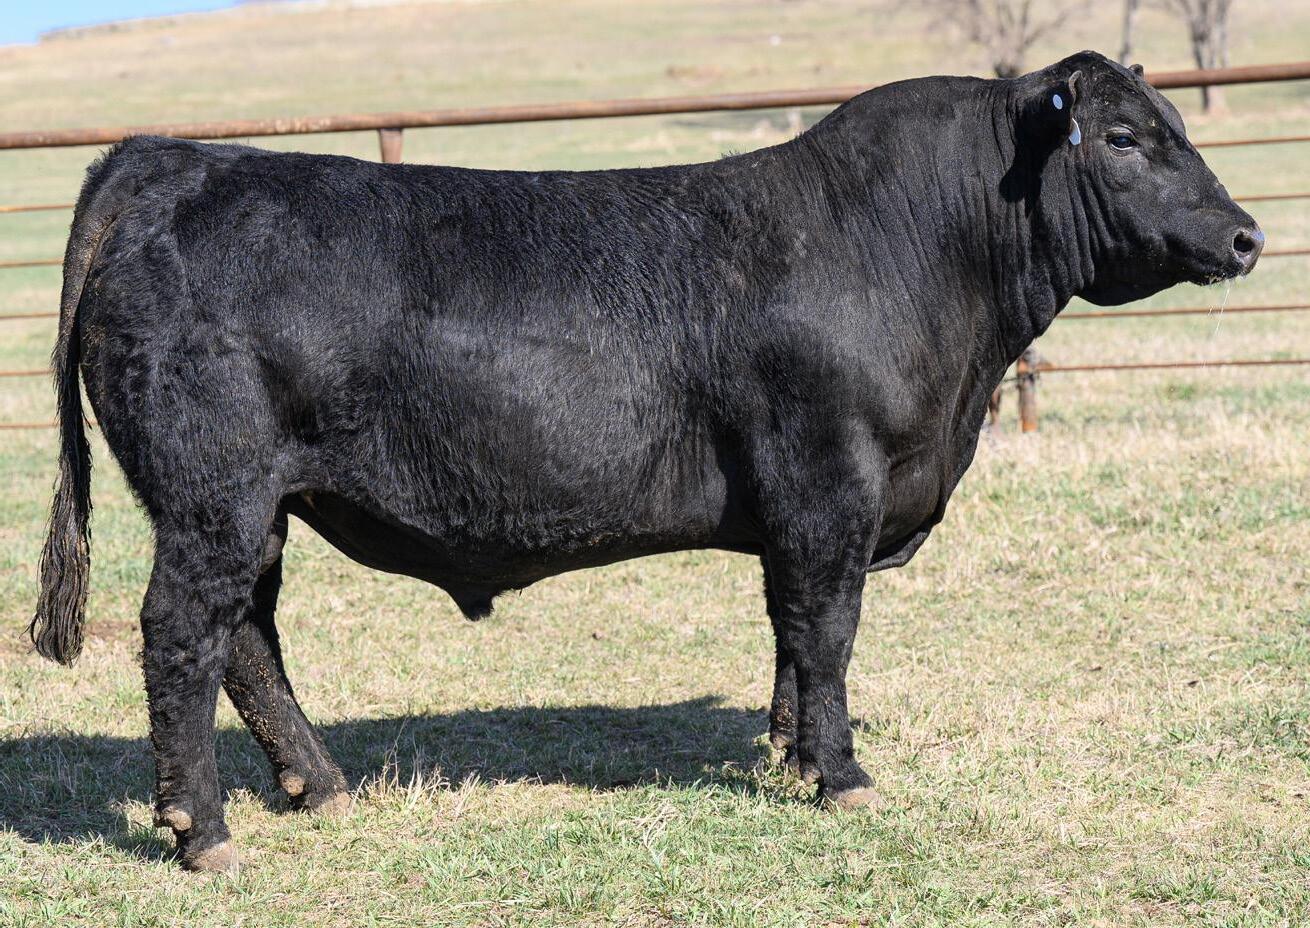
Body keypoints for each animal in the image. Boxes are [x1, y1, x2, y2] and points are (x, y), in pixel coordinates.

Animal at [31, 51, 1261, 873]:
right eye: (1121, 138)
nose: (1247, 235)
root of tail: (171, 162)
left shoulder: (799, 511)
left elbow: (788, 633)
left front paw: (785, 756)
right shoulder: (831, 485)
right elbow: (826, 629)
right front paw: (842, 775)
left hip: (262, 505)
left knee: (248, 637)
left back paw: (322, 788)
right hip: (215, 497)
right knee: (183, 634)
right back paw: (204, 832)